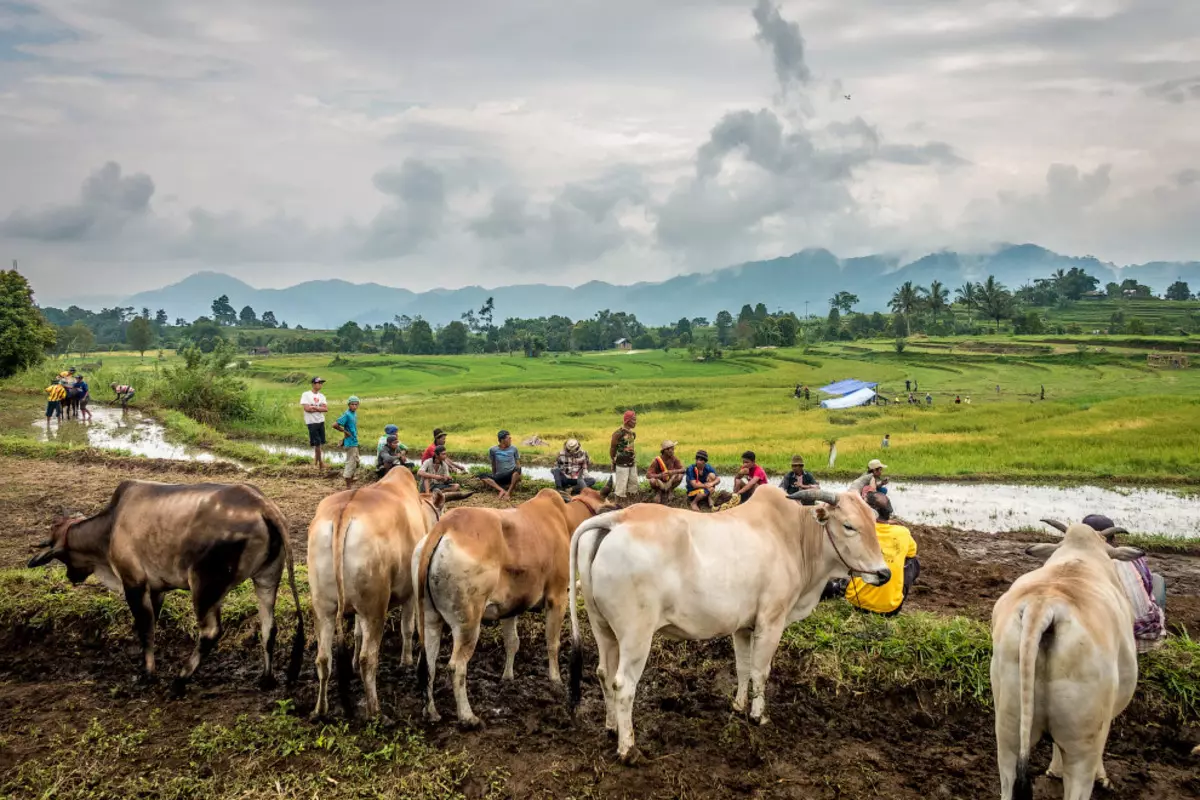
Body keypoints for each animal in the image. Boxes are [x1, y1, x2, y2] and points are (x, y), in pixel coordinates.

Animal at [27, 482, 302, 695]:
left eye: (63, 556)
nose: (71, 577)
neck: (109, 527)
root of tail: (262, 505)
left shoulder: (134, 583)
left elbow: (145, 628)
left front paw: (148, 674)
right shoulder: (156, 589)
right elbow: (151, 625)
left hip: (205, 586)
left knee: (210, 632)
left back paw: (180, 681)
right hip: (266, 578)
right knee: (269, 627)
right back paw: (266, 679)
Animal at [309, 465, 458, 714]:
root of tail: (344, 513)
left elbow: (357, 633)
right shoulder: (410, 593)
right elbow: (407, 629)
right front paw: (406, 662)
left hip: (324, 608)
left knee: (323, 658)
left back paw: (320, 709)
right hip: (375, 608)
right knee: (368, 659)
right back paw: (374, 710)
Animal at [417, 484, 614, 729]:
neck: (564, 519)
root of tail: (444, 526)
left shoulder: (510, 607)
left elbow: (512, 642)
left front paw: (508, 677)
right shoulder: (557, 596)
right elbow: (553, 643)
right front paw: (555, 679)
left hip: (430, 617)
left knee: (429, 662)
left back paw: (431, 712)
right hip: (468, 623)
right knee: (456, 666)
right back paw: (467, 716)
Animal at [564, 489, 892, 762]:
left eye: (874, 520)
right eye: (848, 525)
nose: (884, 573)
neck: (795, 537)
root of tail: (617, 519)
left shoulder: (742, 627)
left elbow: (743, 668)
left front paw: (738, 706)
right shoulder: (771, 621)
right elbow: (761, 671)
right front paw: (759, 716)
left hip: (602, 627)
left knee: (604, 674)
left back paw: (611, 729)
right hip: (636, 635)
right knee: (623, 684)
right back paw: (628, 748)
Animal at [988, 520, 1147, 800]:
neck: (1079, 558)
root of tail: (1043, 607)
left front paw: (1053, 770)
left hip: (1008, 731)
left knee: (1007, 778)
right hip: (1082, 743)